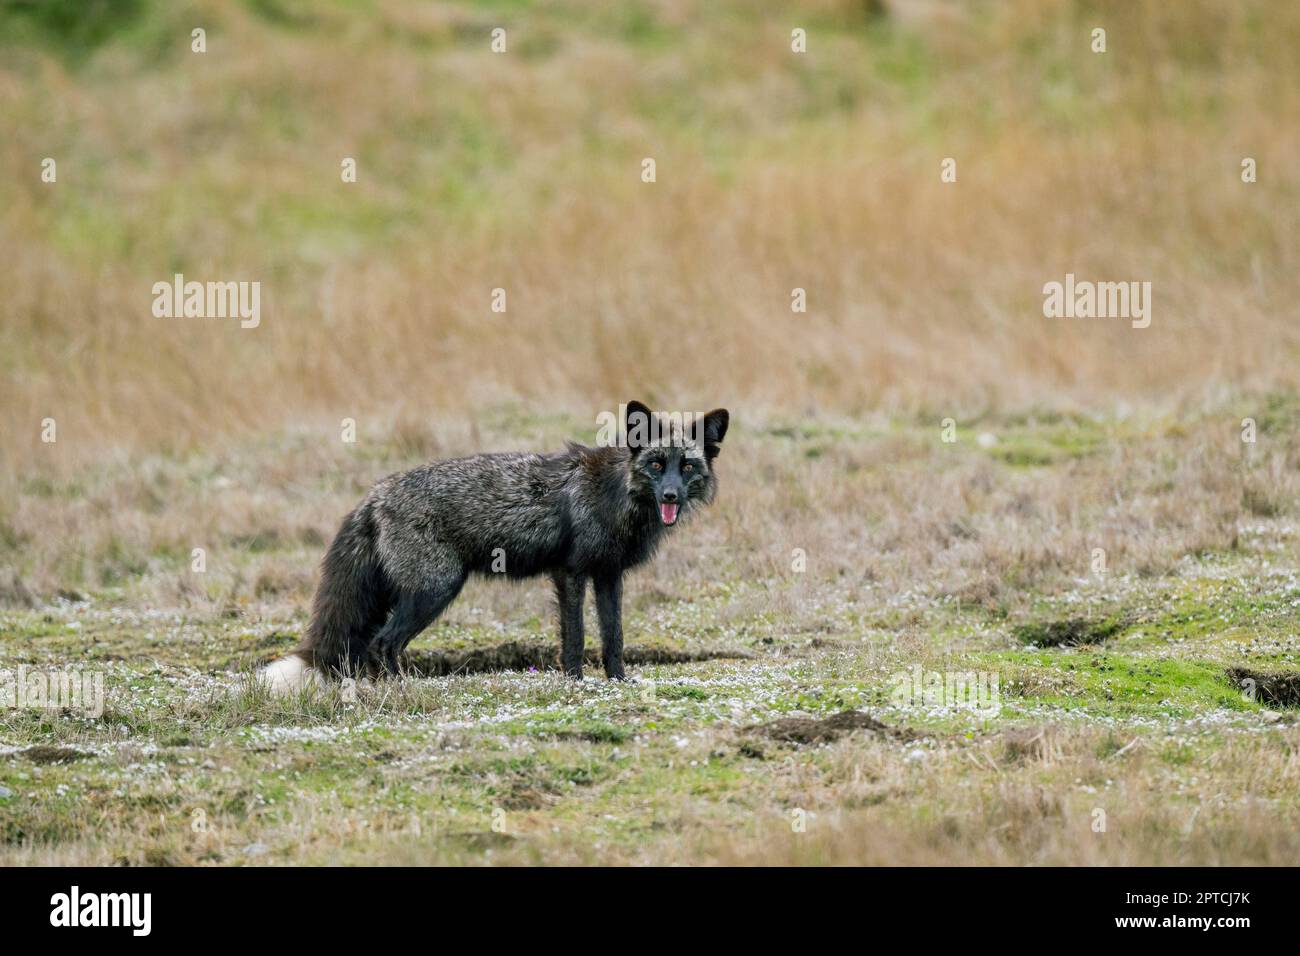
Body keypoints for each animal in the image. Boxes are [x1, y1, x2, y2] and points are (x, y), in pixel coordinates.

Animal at [262, 401, 729, 692]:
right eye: (656, 464)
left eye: (687, 466)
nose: (671, 496)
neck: (616, 495)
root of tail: (374, 495)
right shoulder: (570, 572)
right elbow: (576, 636)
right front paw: (575, 683)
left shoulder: (608, 574)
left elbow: (613, 635)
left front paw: (618, 681)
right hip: (434, 591)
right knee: (383, 643)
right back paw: (401, 688)